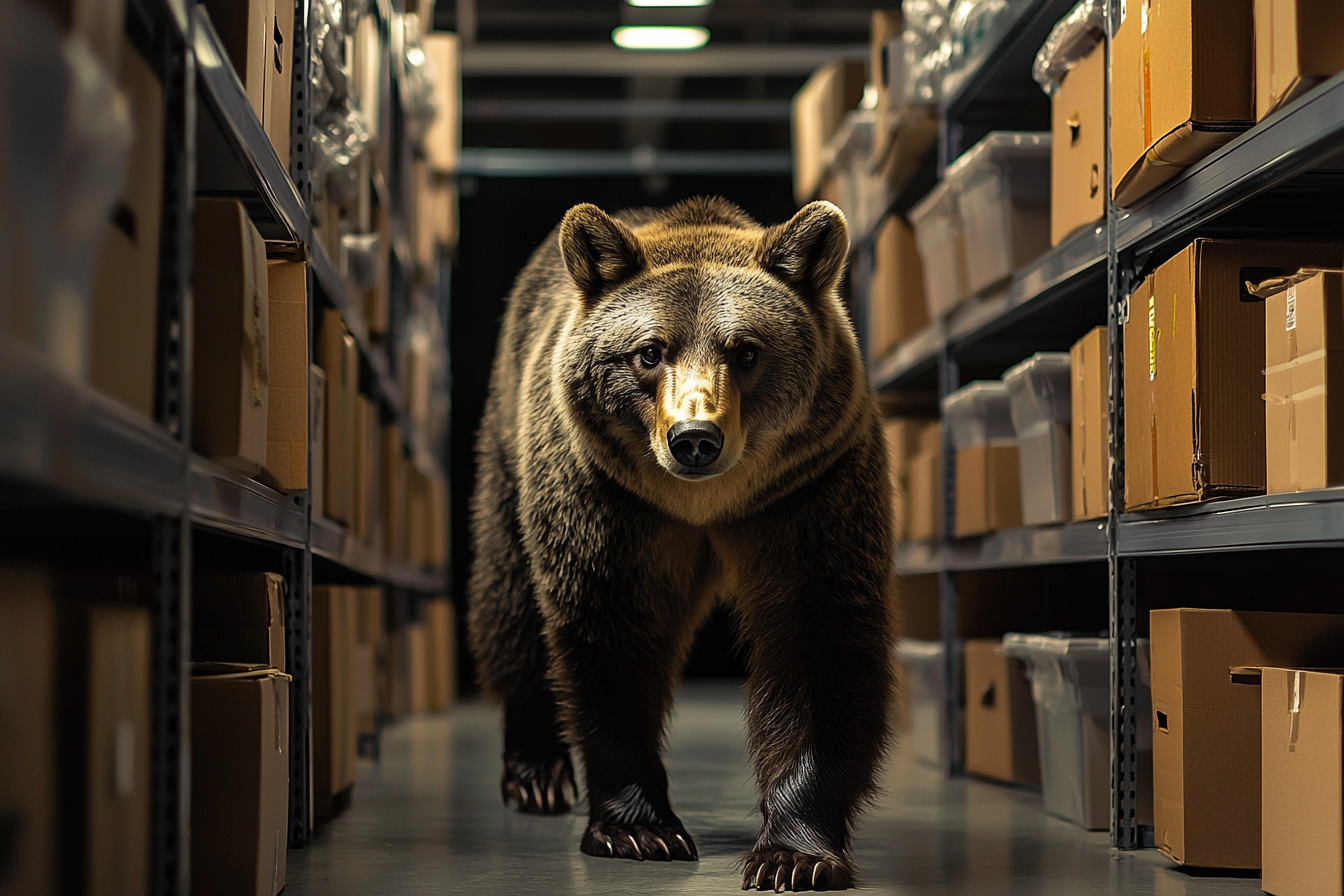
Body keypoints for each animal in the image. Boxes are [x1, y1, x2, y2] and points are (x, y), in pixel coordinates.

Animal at [467, 196, 896, 892]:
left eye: (745, 350)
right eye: (648, 351)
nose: (695, 437)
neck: (703, 505)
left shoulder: (809, 490)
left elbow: (817, 634)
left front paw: (794, 853)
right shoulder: (607, 500)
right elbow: (608, 627)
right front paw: (640, 828)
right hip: (509, 448)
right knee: (509, 595)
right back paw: (536, 774)